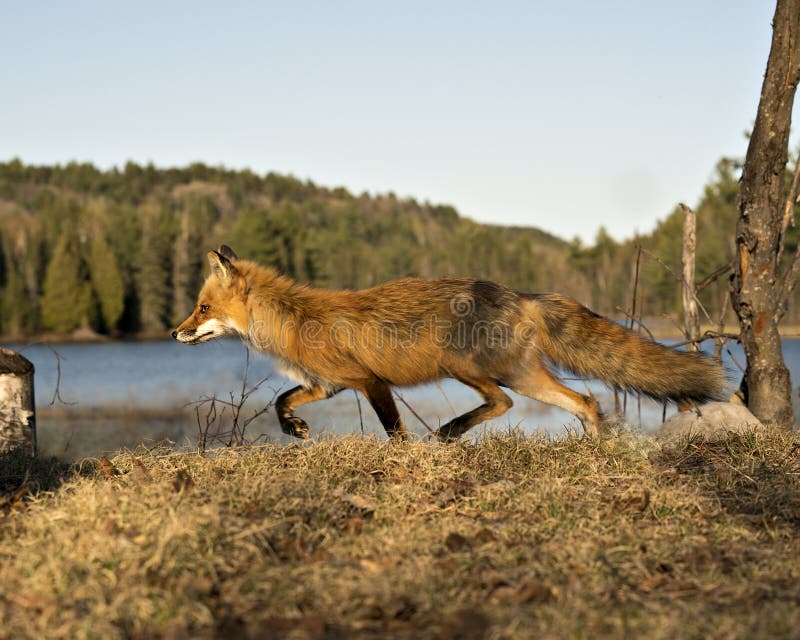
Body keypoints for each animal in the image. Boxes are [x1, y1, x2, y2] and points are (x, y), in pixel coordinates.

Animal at [173, 245, 727, 441]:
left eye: (200, 308)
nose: (175, 333)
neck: (294, 320)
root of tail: (519, 294)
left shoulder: (369, 381)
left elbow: (394, 432)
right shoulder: (326, 385)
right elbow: (280, 401)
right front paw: (294, 429)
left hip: (475, 369)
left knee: (506, 403)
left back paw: (451, 431)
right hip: (515, 374)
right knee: (585, 401)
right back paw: (592, 452)